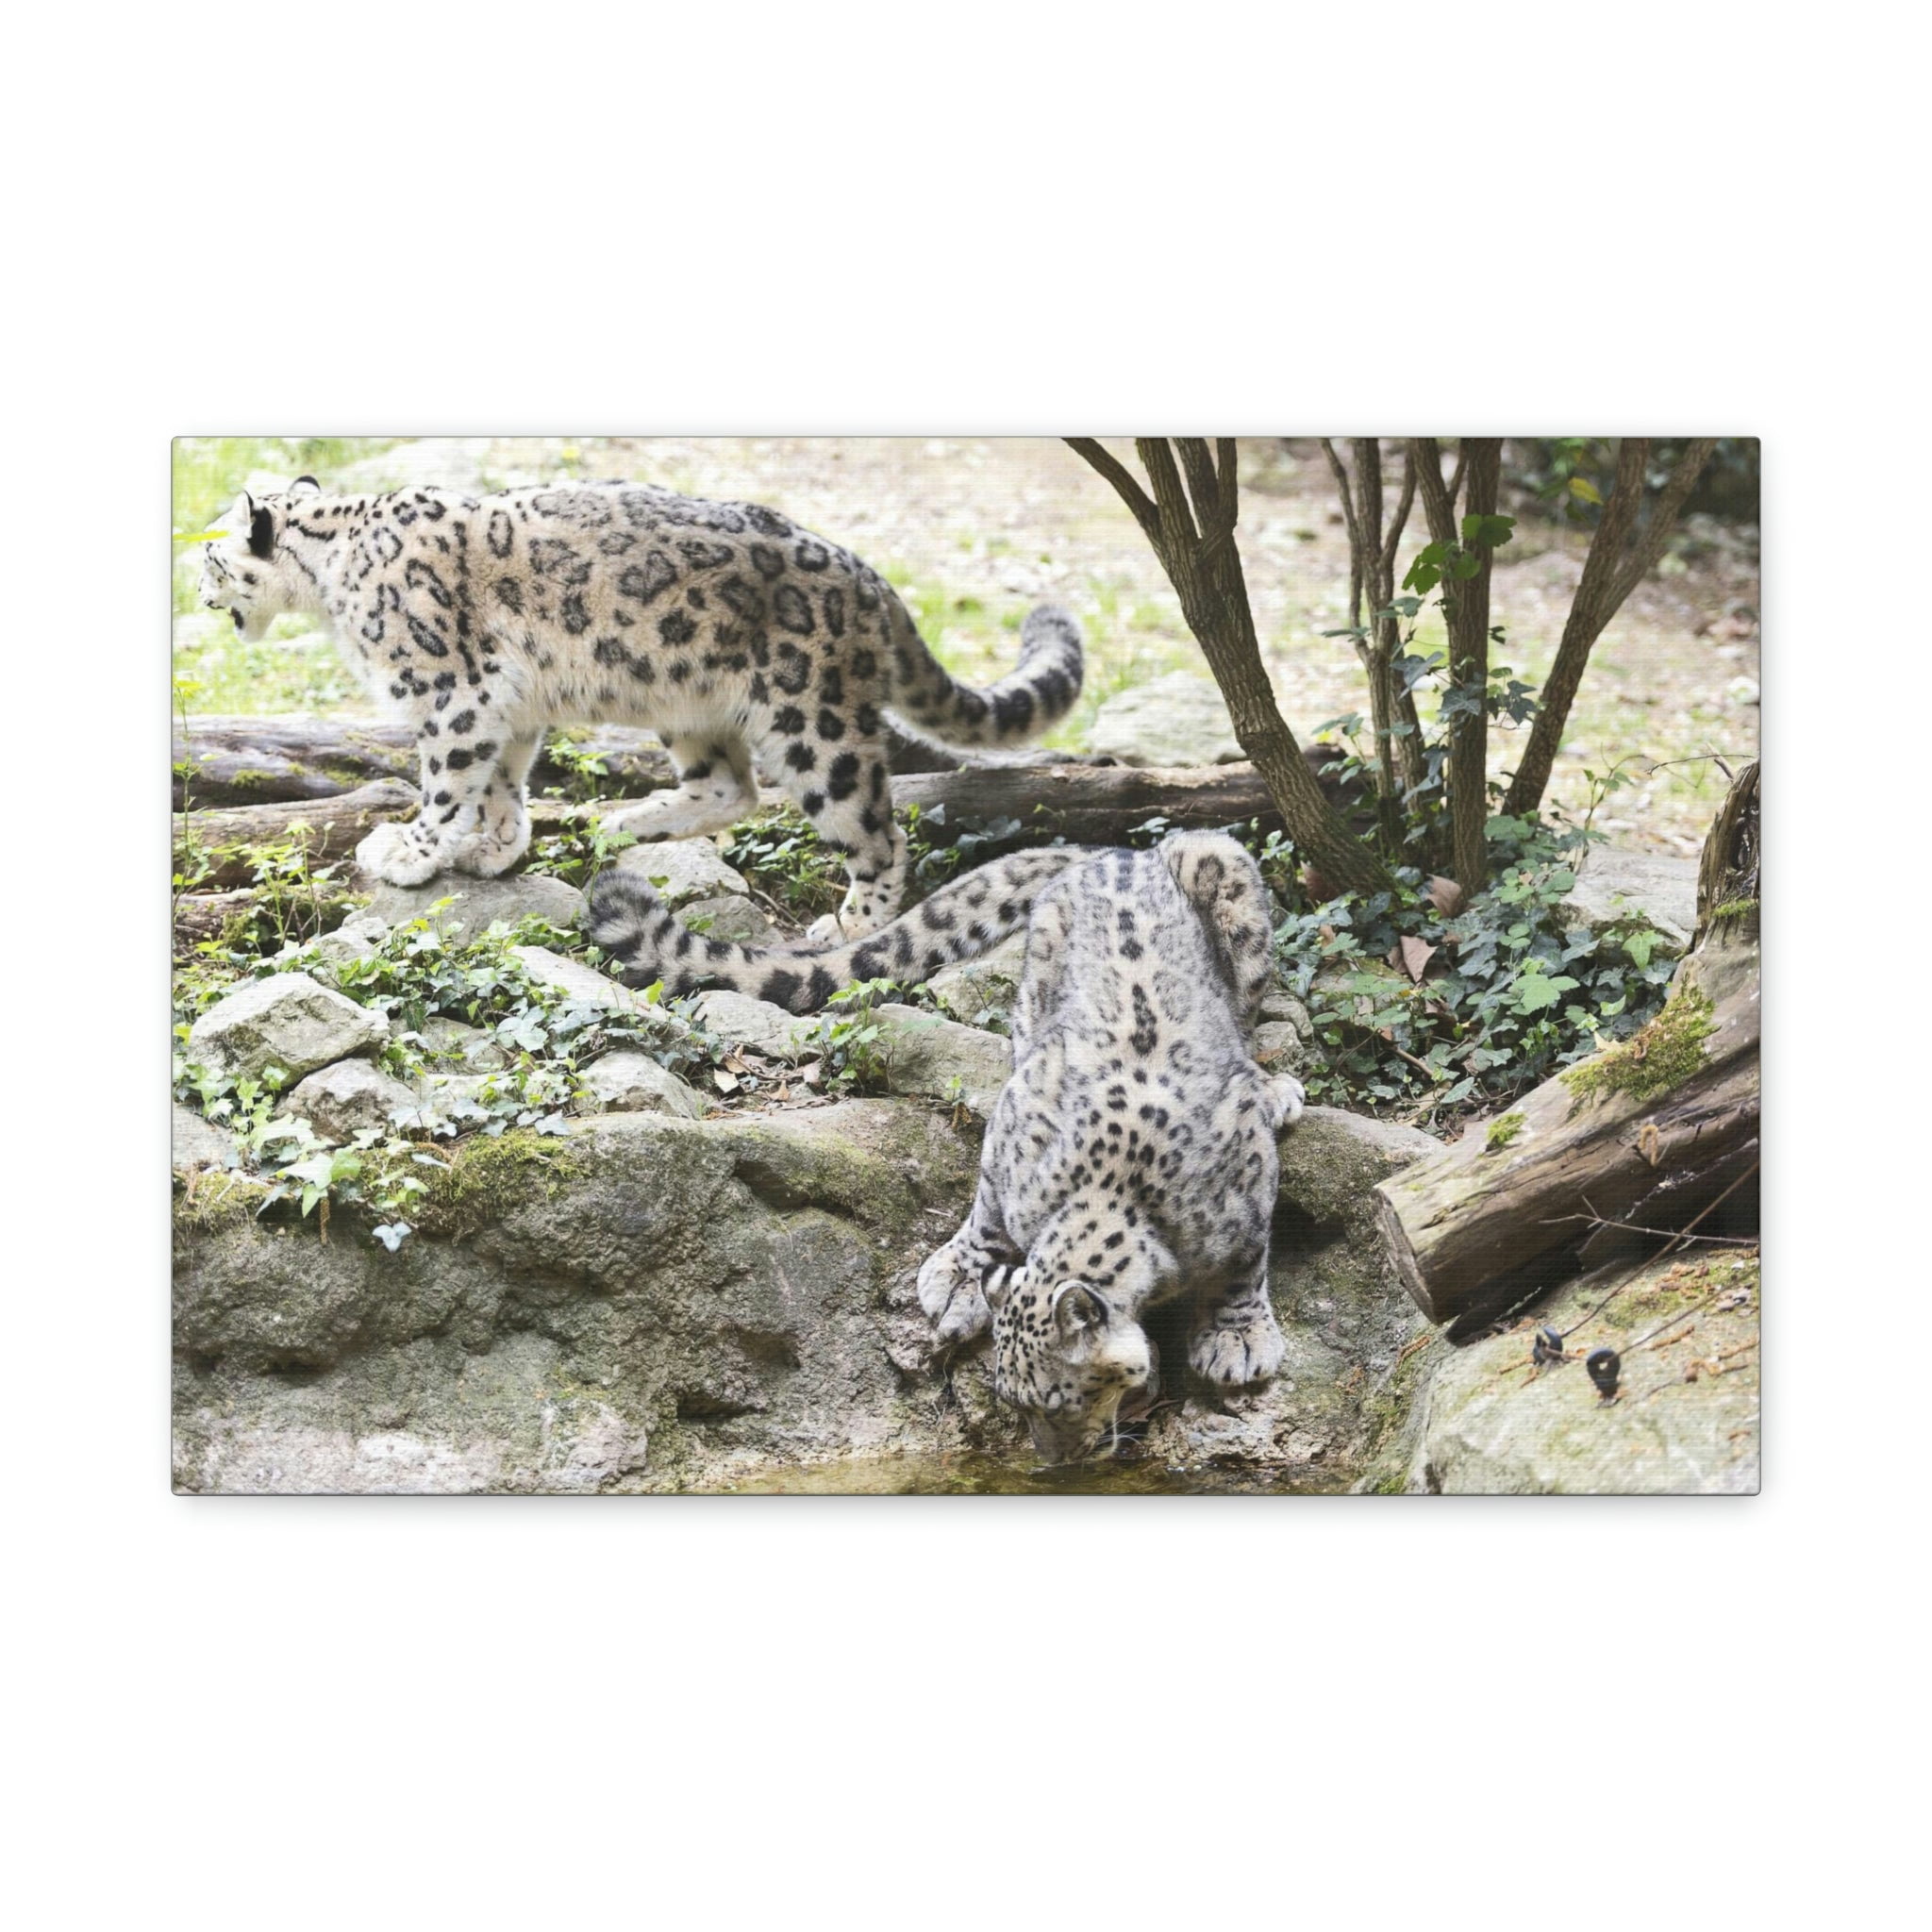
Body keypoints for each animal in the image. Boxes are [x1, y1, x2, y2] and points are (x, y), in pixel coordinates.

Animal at [196, 475, 1083, 939]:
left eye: (210, 555)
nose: (198, 592)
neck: (330, 581)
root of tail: (870, 579)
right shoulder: (504, 706)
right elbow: (502, 780)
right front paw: (495, 848)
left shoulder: (450, 693)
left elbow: (447, 781)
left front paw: (408, 851)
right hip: (688, 701)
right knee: (731, 788)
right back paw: (631, 822)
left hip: (813, 722)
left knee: (875, 828)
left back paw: (854, 922)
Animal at [590, 830, 1303, 1462]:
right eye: (1014, 1399)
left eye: (1062, 1398)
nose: (1054, 1462)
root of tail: (1118, 852)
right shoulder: (1018, 1127)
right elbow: (986, 1209)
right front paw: (961, 1277)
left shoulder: (1244, 1183)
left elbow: (1245, 1264)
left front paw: (1237, 1340)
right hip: (1038, 985)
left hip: (1228, 879)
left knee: (1246, 1015)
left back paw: (1274, 1086)